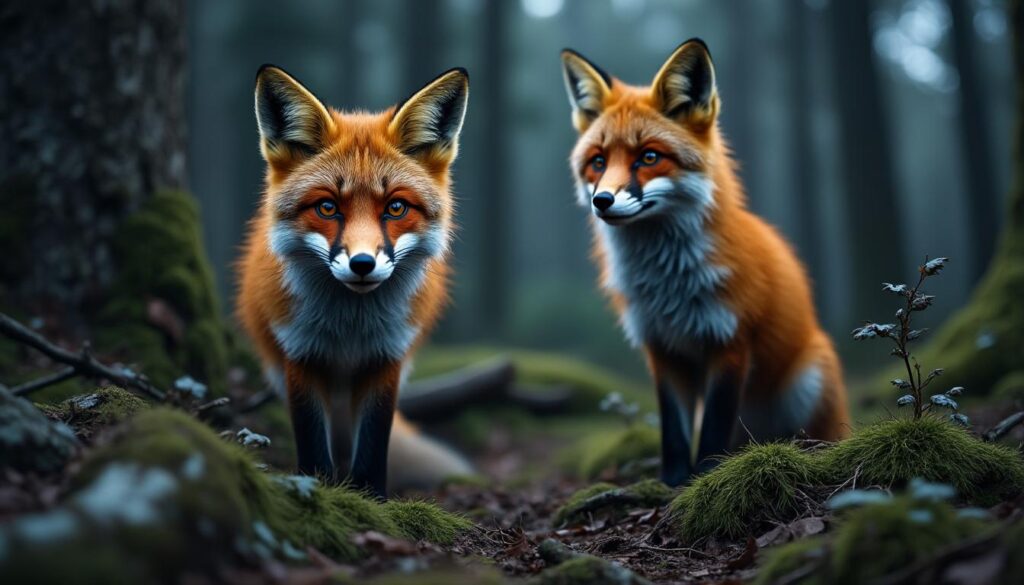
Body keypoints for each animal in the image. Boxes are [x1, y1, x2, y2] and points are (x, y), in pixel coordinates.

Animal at [237, 64, 472, 498]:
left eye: (395, 207)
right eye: (328, 207)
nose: (362, 264)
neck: (350, 328)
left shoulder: (386, 358)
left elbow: (374, 449)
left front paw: (372, 499)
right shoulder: (301, 354)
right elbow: (314, 446)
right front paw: (319, 490)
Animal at [560, 39, 850, 486]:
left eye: (649, 157)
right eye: (598, 162)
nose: (602, 201)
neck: (668, 284)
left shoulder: (729, 341)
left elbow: (713, 430)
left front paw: (707, 478)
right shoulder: (662, 348)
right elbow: (674, 432)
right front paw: (673, 482)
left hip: (807, 384)